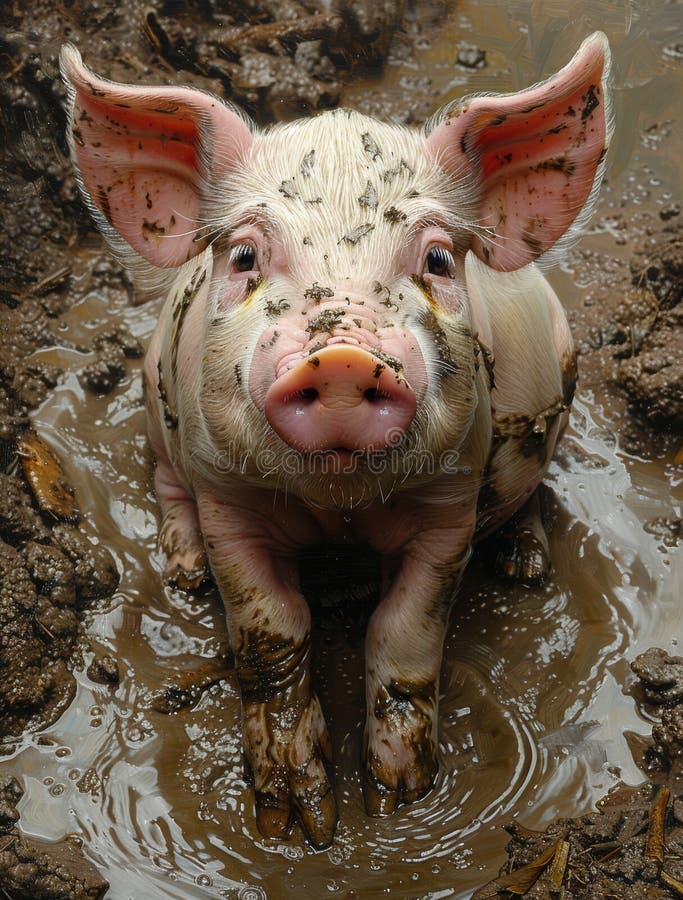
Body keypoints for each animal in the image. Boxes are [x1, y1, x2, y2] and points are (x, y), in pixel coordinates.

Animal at [61, 33, 611, 849]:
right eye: (246, 257)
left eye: (438, 259)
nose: (344, 357)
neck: (338, 510)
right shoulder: (226, 495)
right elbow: (273, 632)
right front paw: (299, 830)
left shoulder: (450, 502)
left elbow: (404, 632)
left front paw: (398, 804)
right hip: (154, 396)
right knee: (164, 483)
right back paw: (183, 574)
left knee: (531, 493)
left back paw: (526, 568)